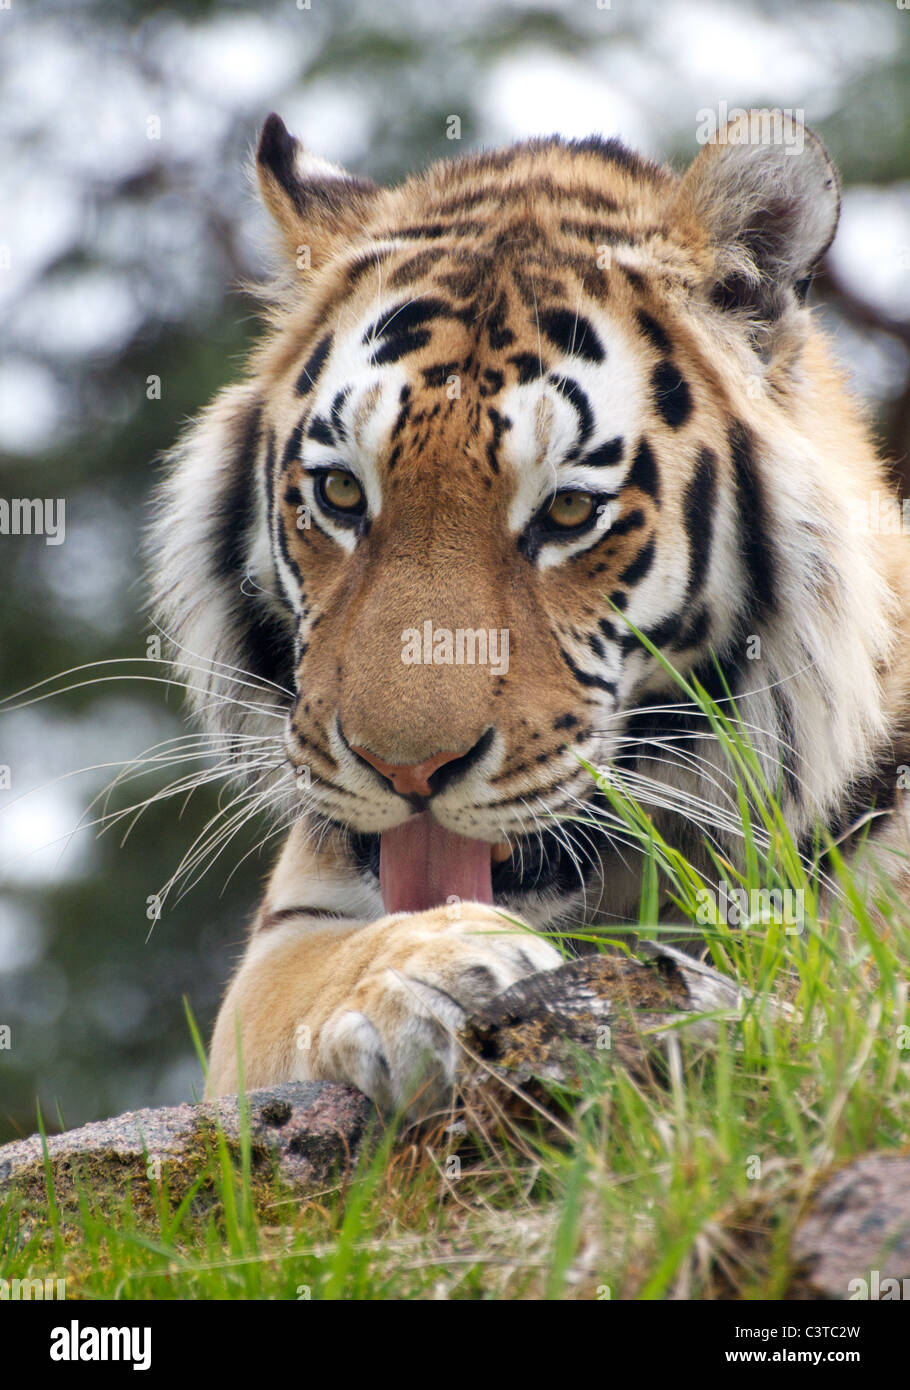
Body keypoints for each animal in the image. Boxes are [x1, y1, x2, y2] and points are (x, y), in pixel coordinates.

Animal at [148, 108, 910, 1117]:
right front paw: (432, 973)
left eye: (569, 512)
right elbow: (310, 979)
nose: (409, 771)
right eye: (343, 494)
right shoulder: (288, 935)